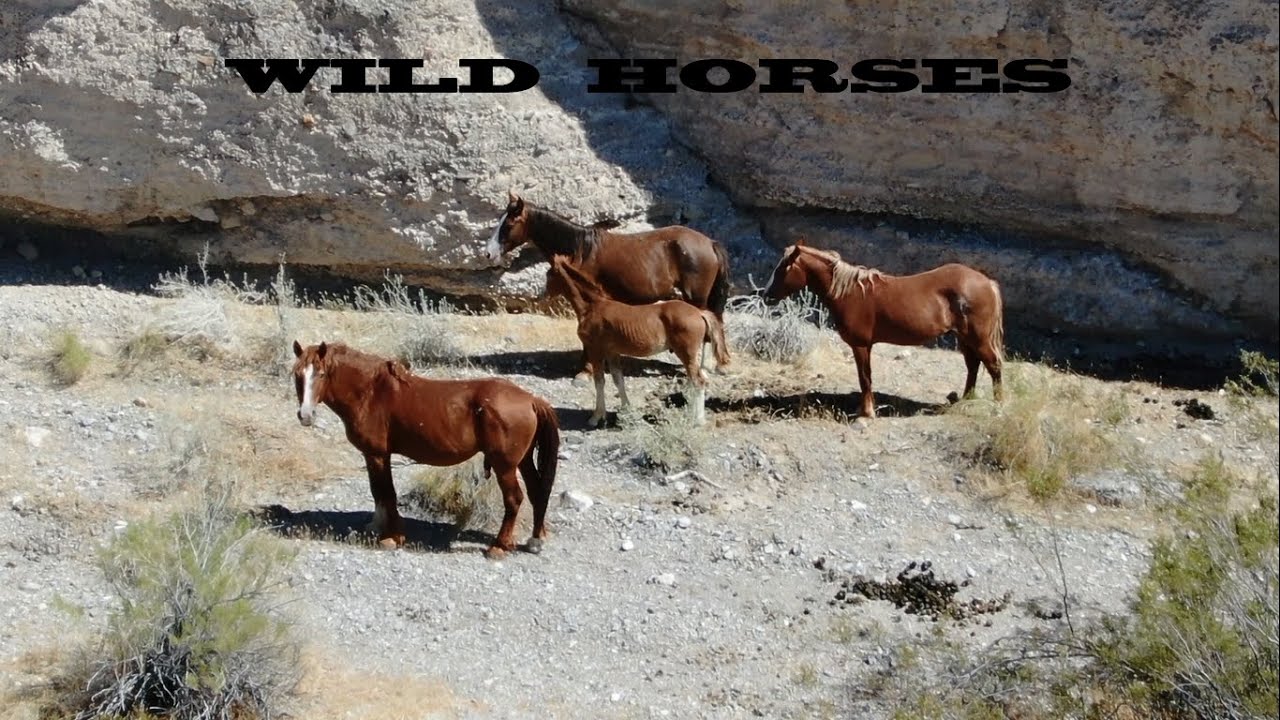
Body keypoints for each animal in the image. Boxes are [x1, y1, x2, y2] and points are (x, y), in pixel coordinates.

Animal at [291, 340, 560, 559]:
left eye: (321, 374)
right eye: (297, 375)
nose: (305, 415)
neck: (370, 392)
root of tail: (531, 399)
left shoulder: (378, 455)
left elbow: (387, 493)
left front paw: (392, 537)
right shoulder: (371, 455)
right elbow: (377, 492)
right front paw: (376, 527)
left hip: (504, 465)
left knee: (514, 499)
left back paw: (499, 546)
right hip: (522, 461)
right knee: (537, 492)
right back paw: (535, 539)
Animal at [485, 190, 733, 382]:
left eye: (508, 224)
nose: (488, 254)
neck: (581, 249)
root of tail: (710, 243)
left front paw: (584, 372)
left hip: (696, 297)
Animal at [549, 255, 730, 428]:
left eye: (549, 273)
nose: (544, 292)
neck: (592, 307)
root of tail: (699, 313)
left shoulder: (595, 350)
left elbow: (599, 381)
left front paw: (596, 418)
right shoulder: (612, 352)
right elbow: (618, 379)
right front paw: (626, 410)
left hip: (687, 354)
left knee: (698, 382)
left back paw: (696, 421)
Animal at [762, 239, 1004, 418]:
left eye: (783, 268)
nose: (766, 296)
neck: (851, 293)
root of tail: (987, 282)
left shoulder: (861, 345)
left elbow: (865, 378)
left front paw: (867, 413)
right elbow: (865, 378)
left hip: (979, 338)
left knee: (994, 366)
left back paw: (998, 406)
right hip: (965, 338)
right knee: (973, 366)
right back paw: (965, 401)